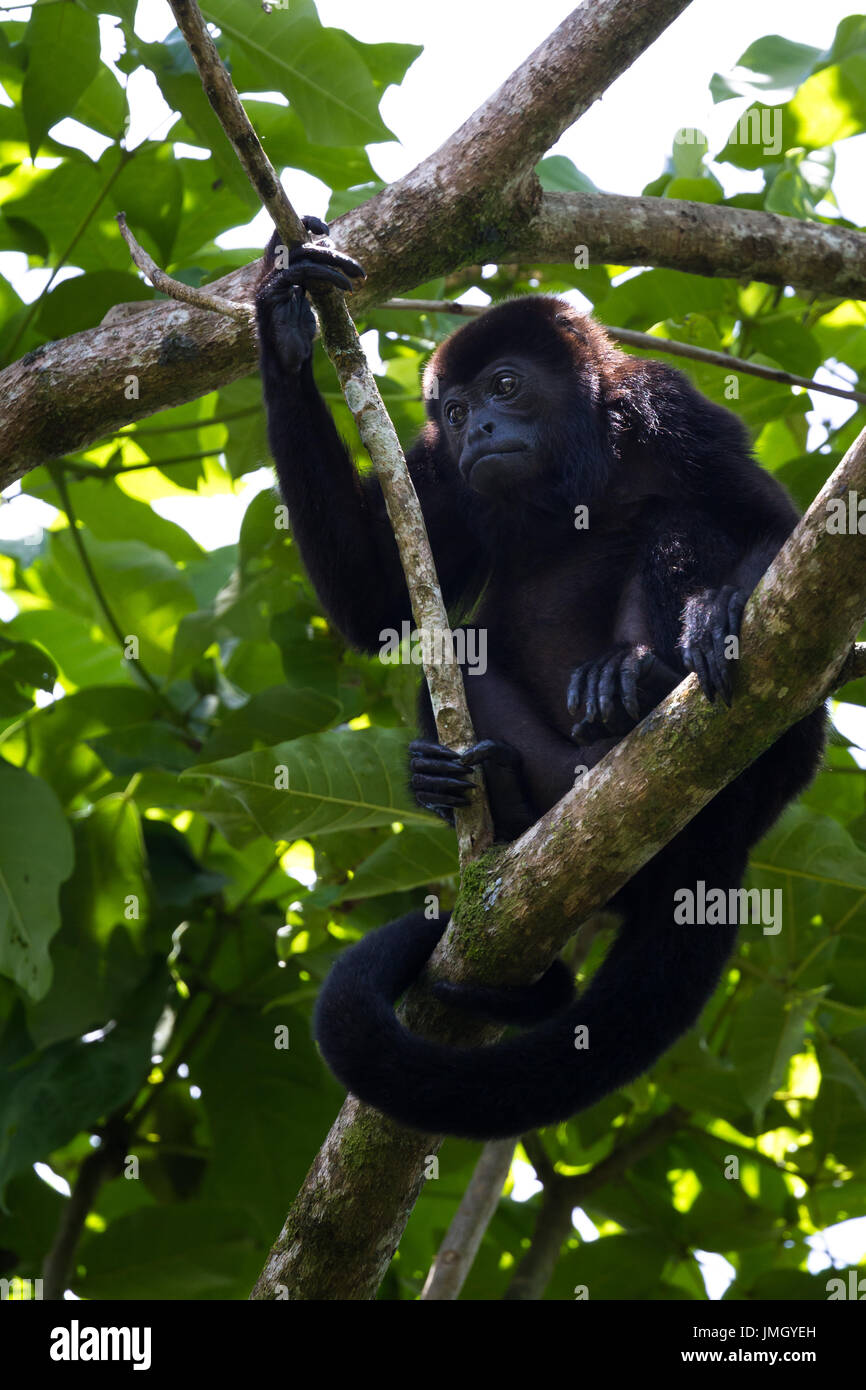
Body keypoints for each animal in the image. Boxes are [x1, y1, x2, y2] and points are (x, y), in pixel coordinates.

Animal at [255, 223, 825, 1140]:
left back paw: (638, 683)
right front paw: (282, 327)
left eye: (507, 386)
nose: (481, 426)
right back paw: (474, 788)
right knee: (463, 651)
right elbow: (380, 604)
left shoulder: (671, 408)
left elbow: (777, 527)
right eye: (454, 412)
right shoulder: (436, 468)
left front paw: (719, 610)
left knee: (680, 528)